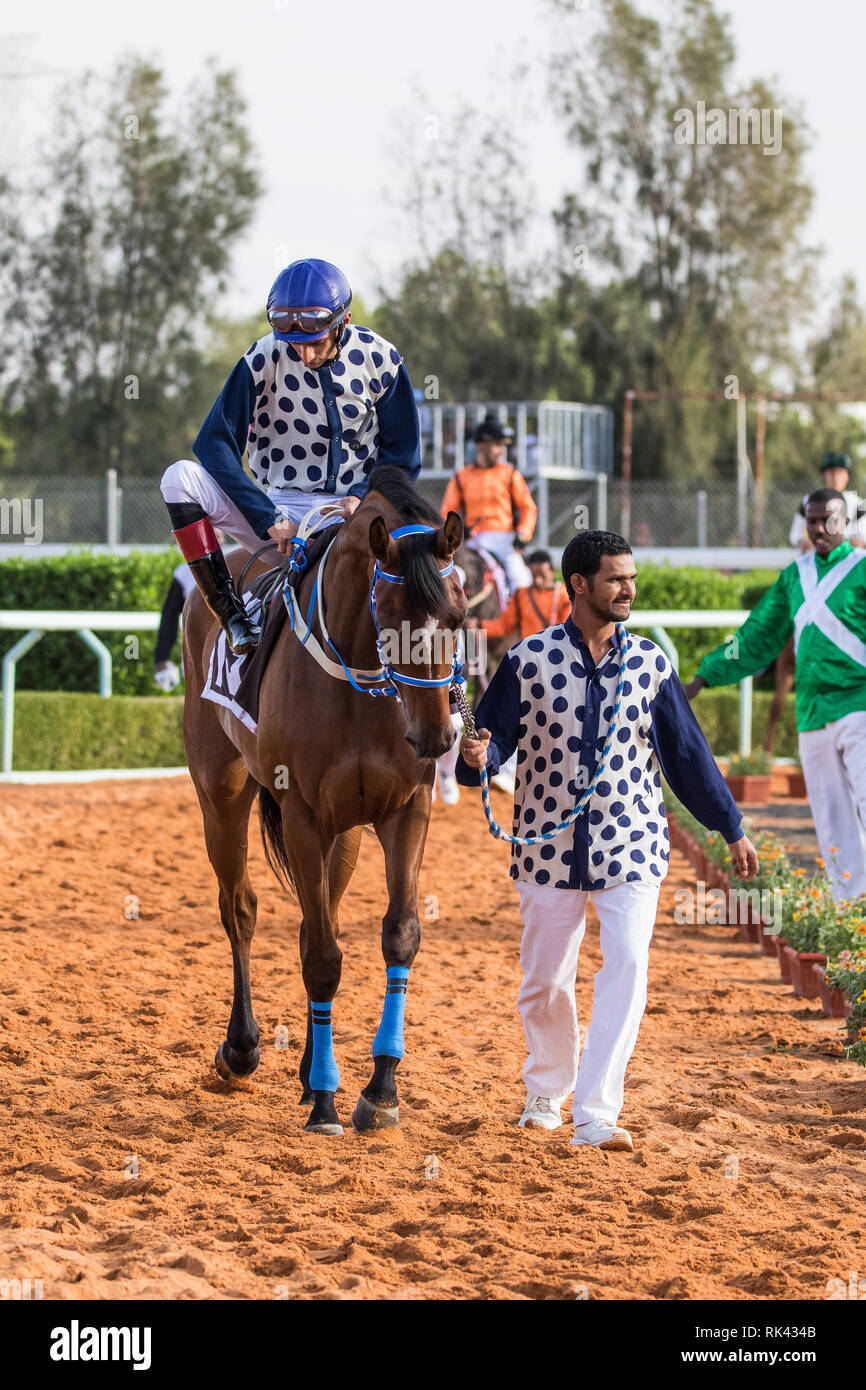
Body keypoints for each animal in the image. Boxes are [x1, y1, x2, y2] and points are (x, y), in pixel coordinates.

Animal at [182, 466, 467, 1135]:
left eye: (460, 614)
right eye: (387, 615)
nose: (437, 737)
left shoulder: (403, 811)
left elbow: (396, 935)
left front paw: (379, 1088)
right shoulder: (305, 815)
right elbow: (318, 958)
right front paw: (328, 1104)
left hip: (346, 829)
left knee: (326, 916)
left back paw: (312, 1067)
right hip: (220, 791)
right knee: (242, 908)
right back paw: (242, 1048)